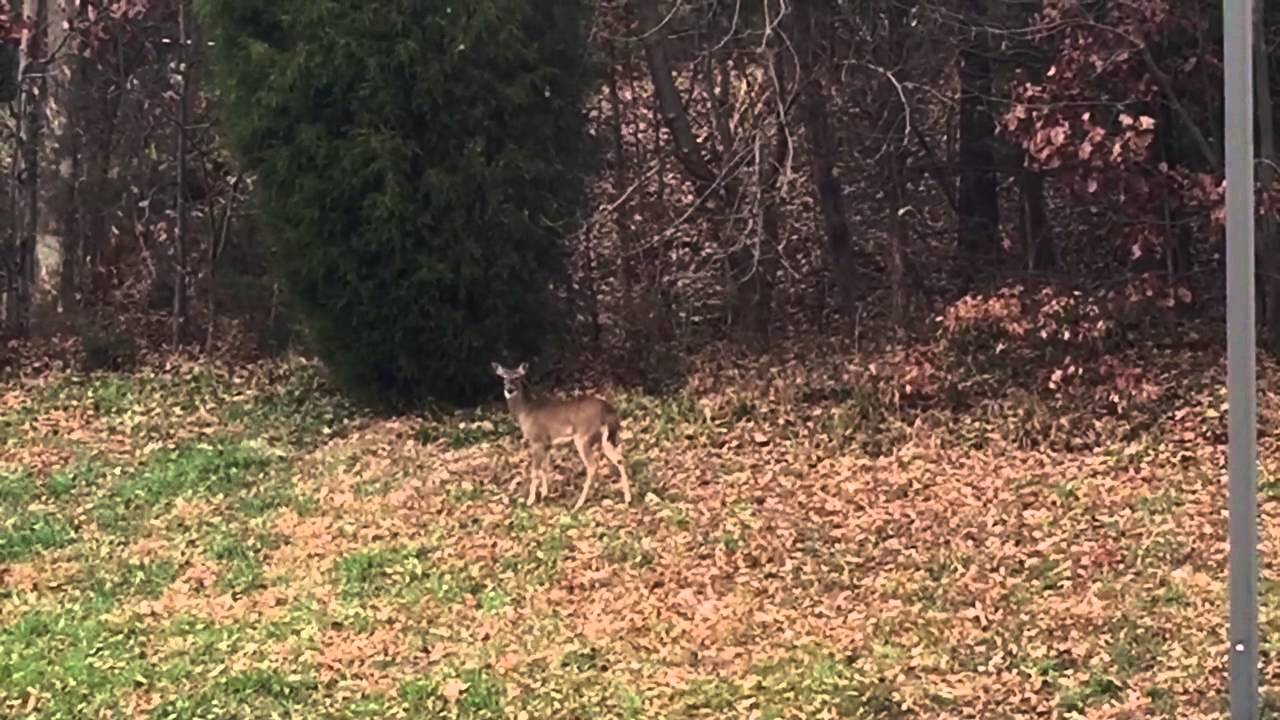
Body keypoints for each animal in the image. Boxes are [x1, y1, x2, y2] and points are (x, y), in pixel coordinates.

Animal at [491, 361, 632, 511]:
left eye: (517, 377)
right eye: (503, 378)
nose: (509, 389)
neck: (525, 412)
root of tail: (609, 412)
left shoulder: (537, 440)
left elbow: (535, 470)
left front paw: (530, 500)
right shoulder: (547, 444)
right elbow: (545, 468)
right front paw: (545, 495)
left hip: (583, 437)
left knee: (592, 466)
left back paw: (578, 504)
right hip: (609, 438)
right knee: (620, 459)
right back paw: (627, 498)